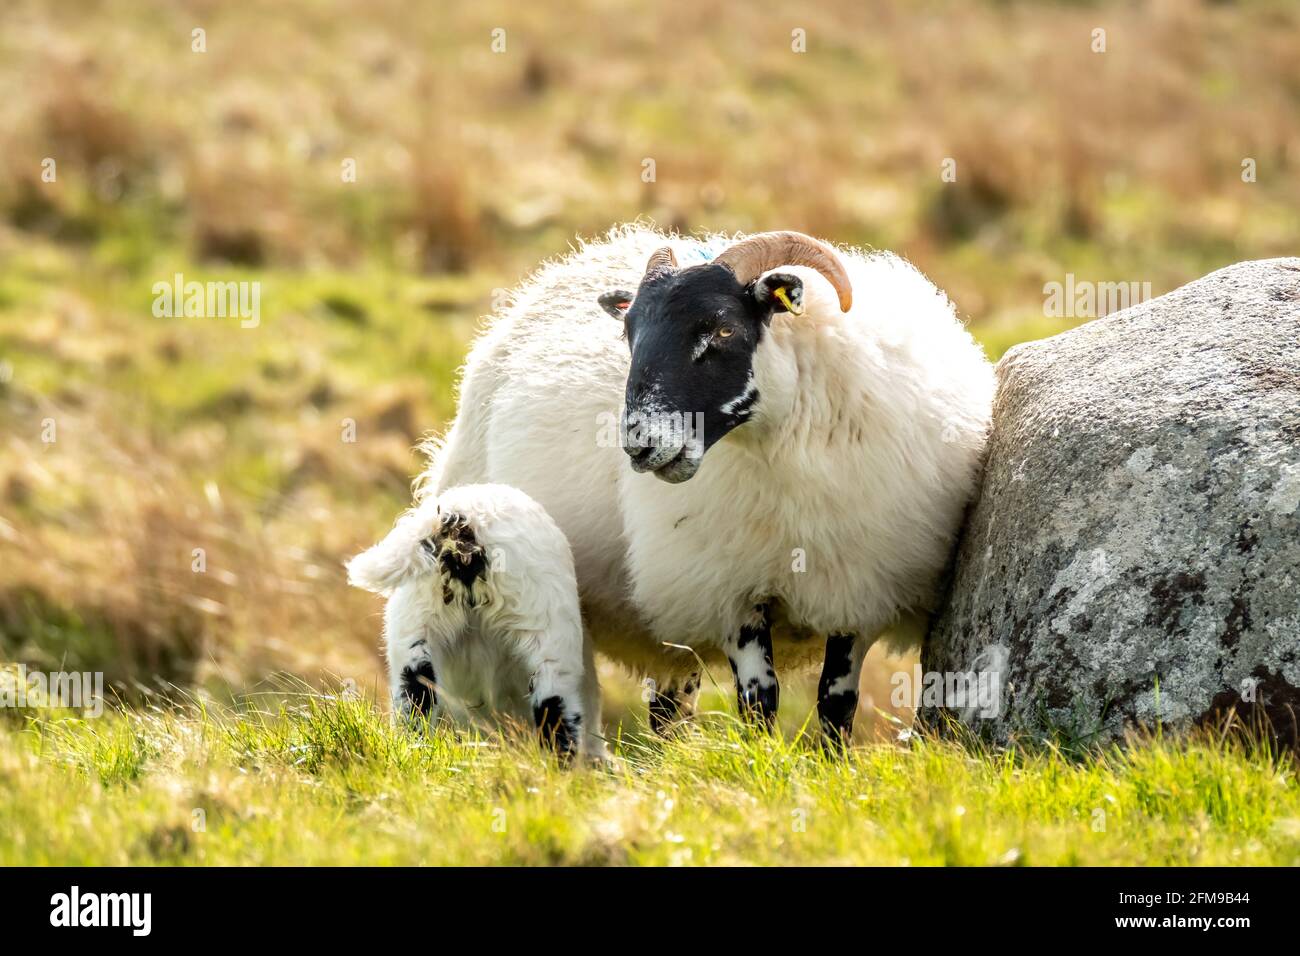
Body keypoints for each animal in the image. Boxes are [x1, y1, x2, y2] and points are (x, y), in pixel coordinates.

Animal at [420, 226, 995, 742]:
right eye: (629, 333)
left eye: (722, 330)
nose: (638, 443)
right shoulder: (727, 590)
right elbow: (760, 700)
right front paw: (764, 764)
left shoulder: (857, 588)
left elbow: (836, 703)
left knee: (669, 705)